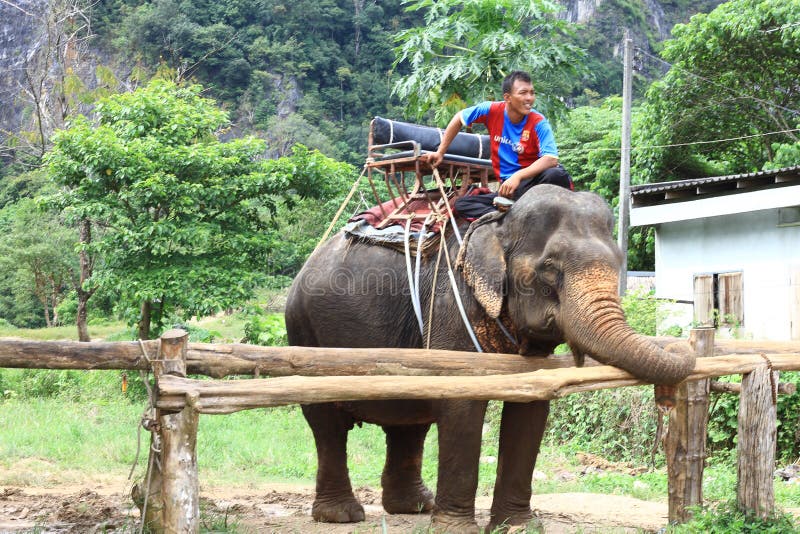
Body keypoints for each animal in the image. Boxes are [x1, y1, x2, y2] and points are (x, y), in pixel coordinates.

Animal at [284, 184, 695, 532]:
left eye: (619, 262)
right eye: (550, 269)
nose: (682, 346)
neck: (499, 222)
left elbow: (530, 409)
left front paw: (518, 527)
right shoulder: (451, 301)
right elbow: (462, 404)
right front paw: (457, 529)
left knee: (409, 419)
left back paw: (415, 507)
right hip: (303, 330)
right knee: (326, 423)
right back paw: (342, 515)